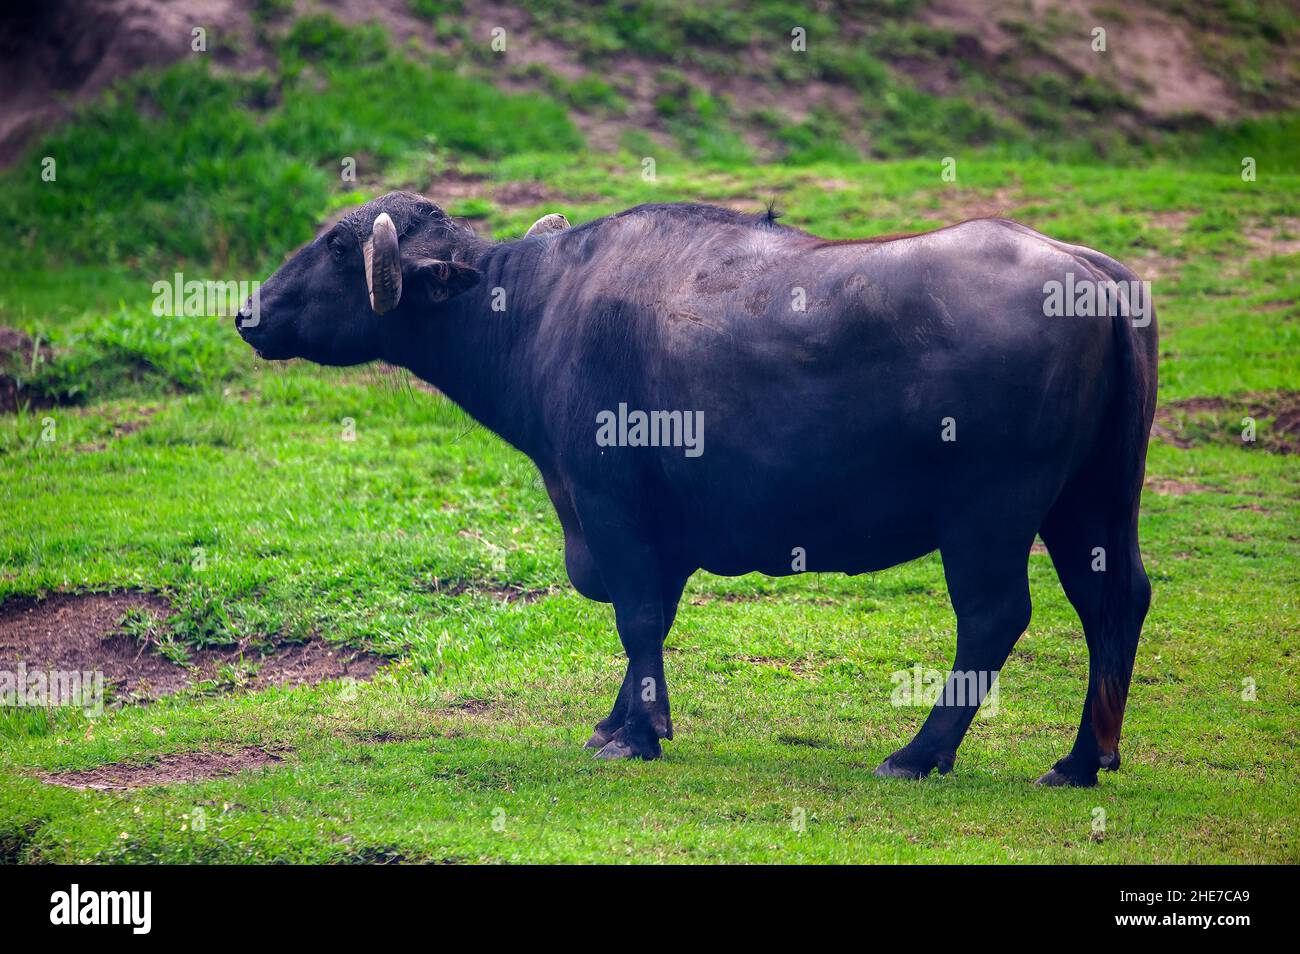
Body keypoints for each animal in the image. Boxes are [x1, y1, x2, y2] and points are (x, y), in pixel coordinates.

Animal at [237, 191, 1156, 786]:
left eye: (333, 249)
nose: (246, 313)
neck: (536, 312)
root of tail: (1087, 271)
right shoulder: (660, 531)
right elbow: (652, 620)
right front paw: (620, 719)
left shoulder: (611, 506)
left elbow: (638, 617)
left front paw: (639, 737)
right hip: (1092, 499)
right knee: (1114, 599)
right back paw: (1084, 760)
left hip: (988, 515)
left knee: (996, 618)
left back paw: (919, 753)